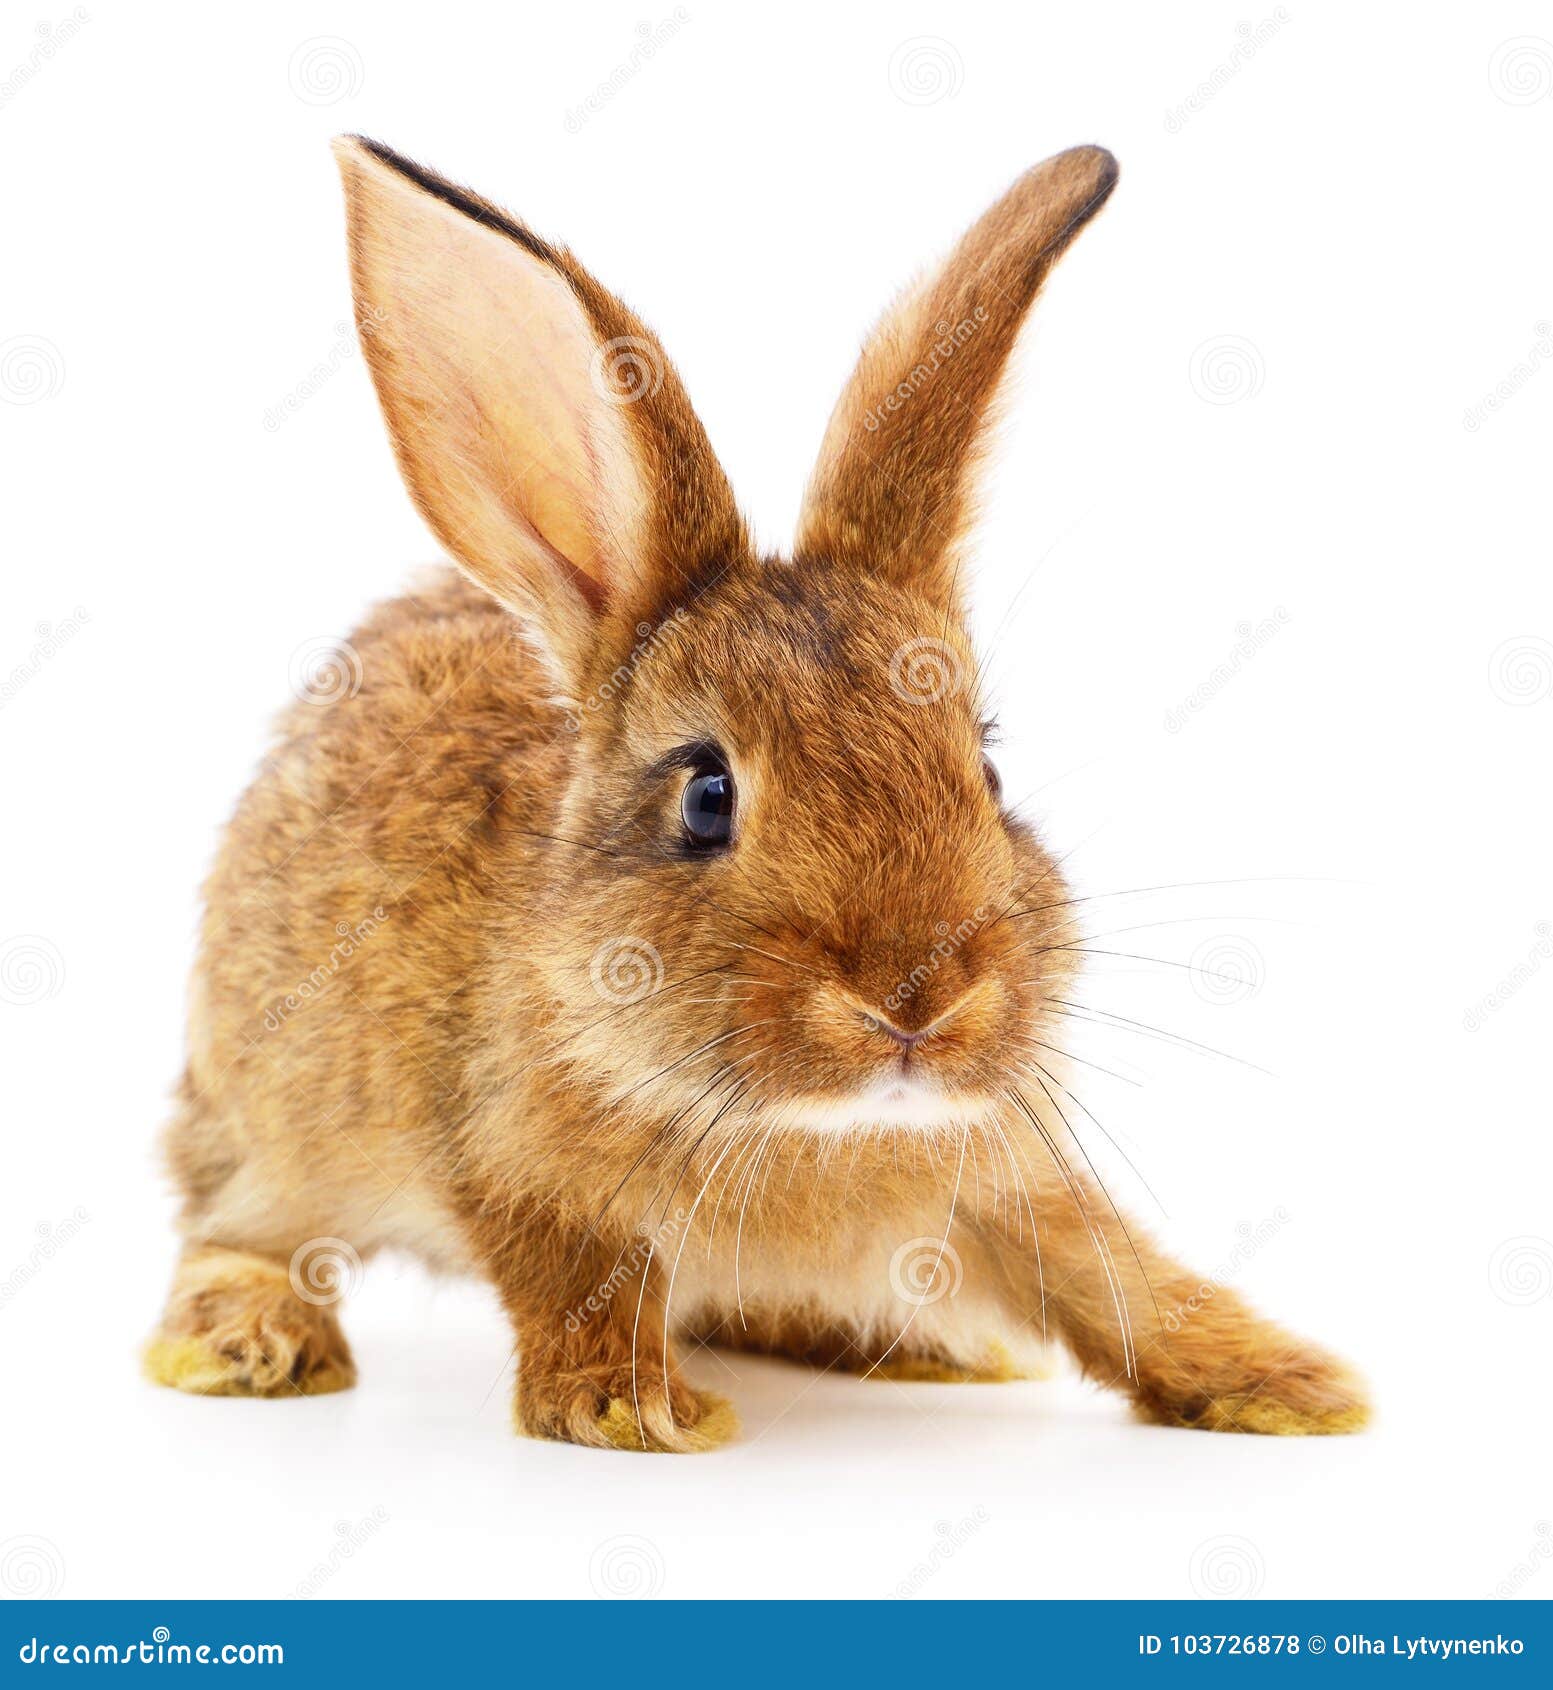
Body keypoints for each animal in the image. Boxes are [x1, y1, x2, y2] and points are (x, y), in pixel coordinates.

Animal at [143, 136, 1369, 1450]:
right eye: (705, 796)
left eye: (986, 768)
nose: (916, 995)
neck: (813, 1124)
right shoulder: (513, 1172)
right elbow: (575, 1276)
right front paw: (630, 1410)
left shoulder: (1011, 1171)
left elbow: (1111, 1273)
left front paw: (1290, 1386)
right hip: (273, 1126)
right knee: (234, 1231)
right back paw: (250, 1343)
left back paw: (924, 1351)